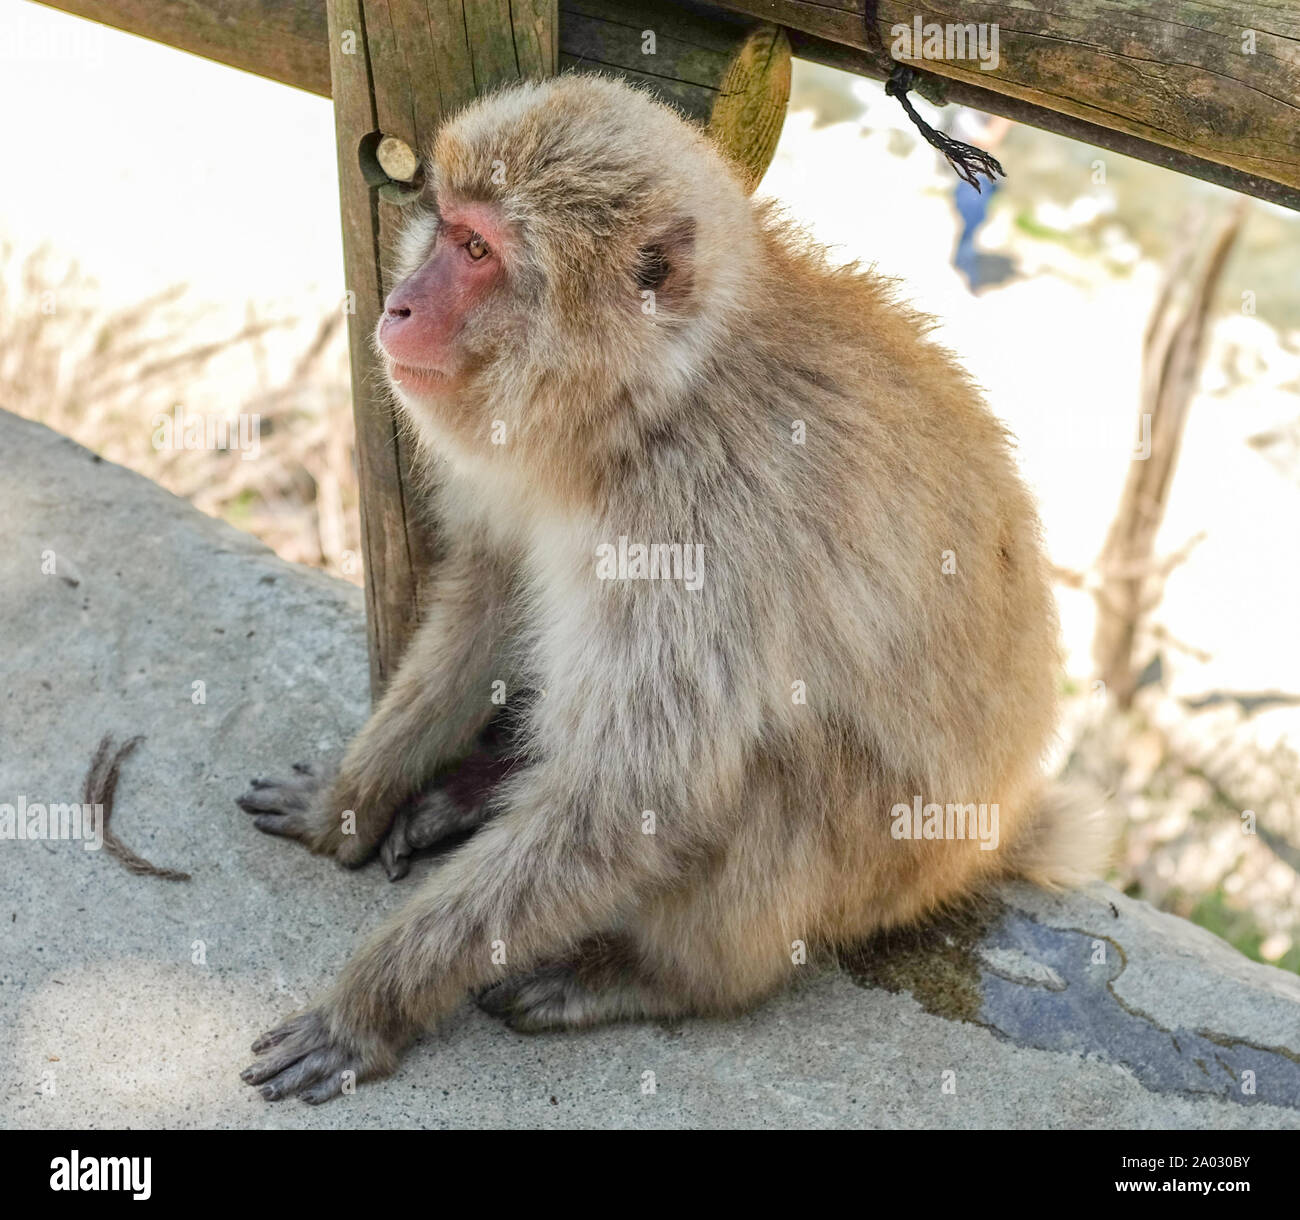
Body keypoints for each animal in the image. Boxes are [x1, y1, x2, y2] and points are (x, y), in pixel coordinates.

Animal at [236, 74, 1108, 1104]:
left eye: (480, 252)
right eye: (447, 229)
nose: (400, 307)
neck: (641, 412)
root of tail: (987, 839)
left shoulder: (704, 527)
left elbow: (635, 799)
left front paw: (370, 1005)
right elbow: (490, 594)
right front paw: (348, 801)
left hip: (877, 871)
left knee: (779, 773)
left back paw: (655, 976)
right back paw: (484, 790)